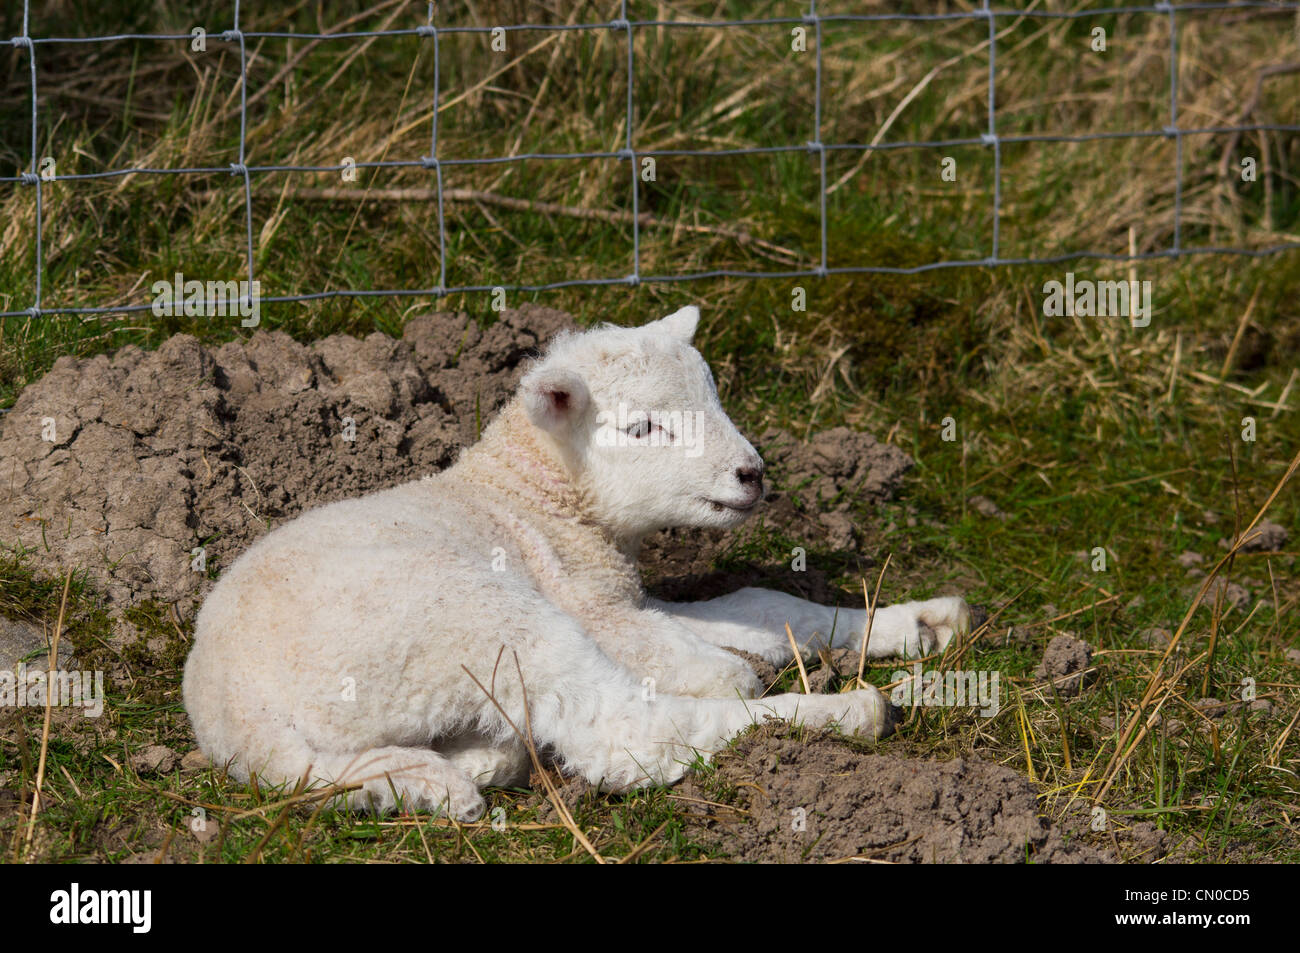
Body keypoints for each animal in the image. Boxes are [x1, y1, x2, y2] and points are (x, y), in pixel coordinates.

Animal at [182, 306, 971, 820]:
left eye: (714, 397)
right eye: (642, 427)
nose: (752, 474)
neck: (534, 495)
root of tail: (238, 720)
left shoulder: (622, 598)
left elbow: (761, 606)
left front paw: (918, 622)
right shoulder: (589, 605)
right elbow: (718, 670)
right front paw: (767, 671)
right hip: (471, 621)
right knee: (630, 736)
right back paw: (855, 710)